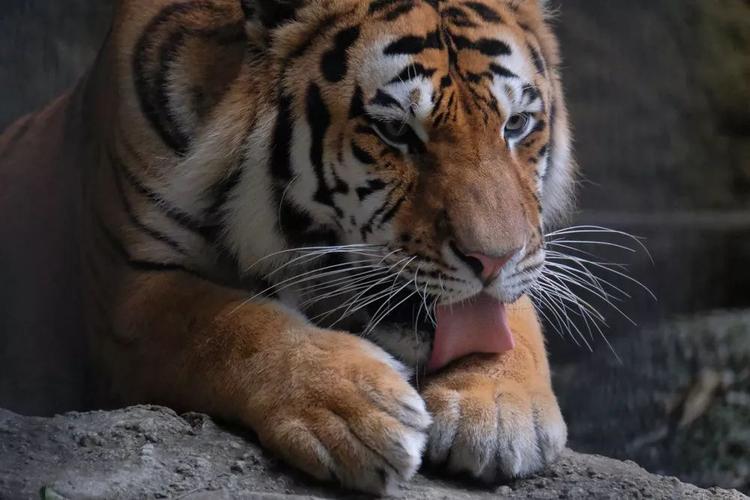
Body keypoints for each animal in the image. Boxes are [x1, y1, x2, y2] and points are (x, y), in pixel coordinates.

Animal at [0, 0, 574, 493]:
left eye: (516, 124)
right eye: (394, 131)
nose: (492, 260)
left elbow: (514, 312)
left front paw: (497, 410)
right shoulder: (127, 291)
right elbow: (227, 323)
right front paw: (357, 410)